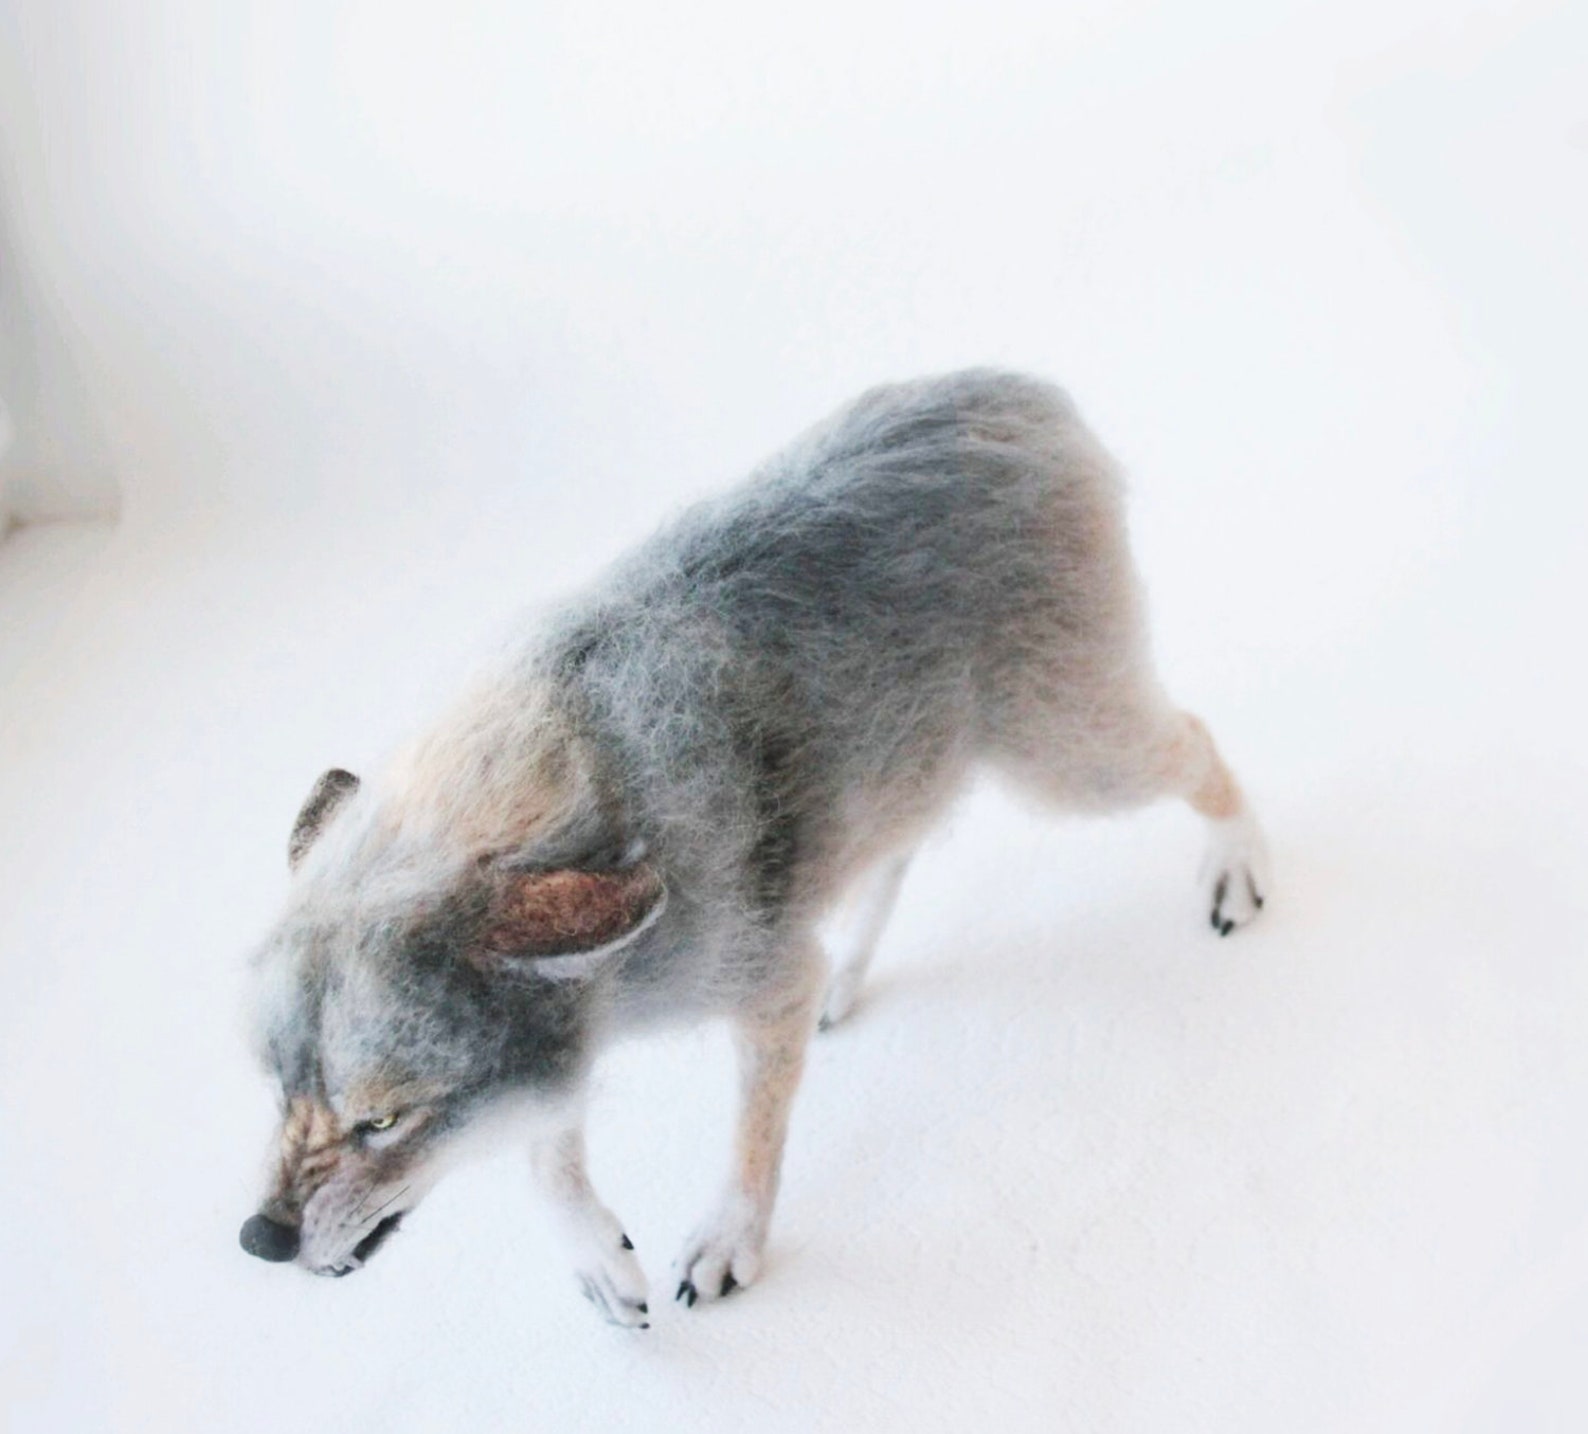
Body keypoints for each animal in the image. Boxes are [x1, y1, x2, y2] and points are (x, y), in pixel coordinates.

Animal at [240, 369, 1268, 1325]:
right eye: (278, 1090)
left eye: (382, 1120)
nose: (259, 1240)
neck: (577, 769)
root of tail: (1018, 393)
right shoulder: (566, 1032)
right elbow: (544, 1150)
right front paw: (600, 1261)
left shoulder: (759, 983)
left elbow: (751, 1135)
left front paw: (728, 1239)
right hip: (919, 752)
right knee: (896, 852)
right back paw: (847, 977)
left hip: (1070, 751)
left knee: (1198, 743)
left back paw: (1238, 867)